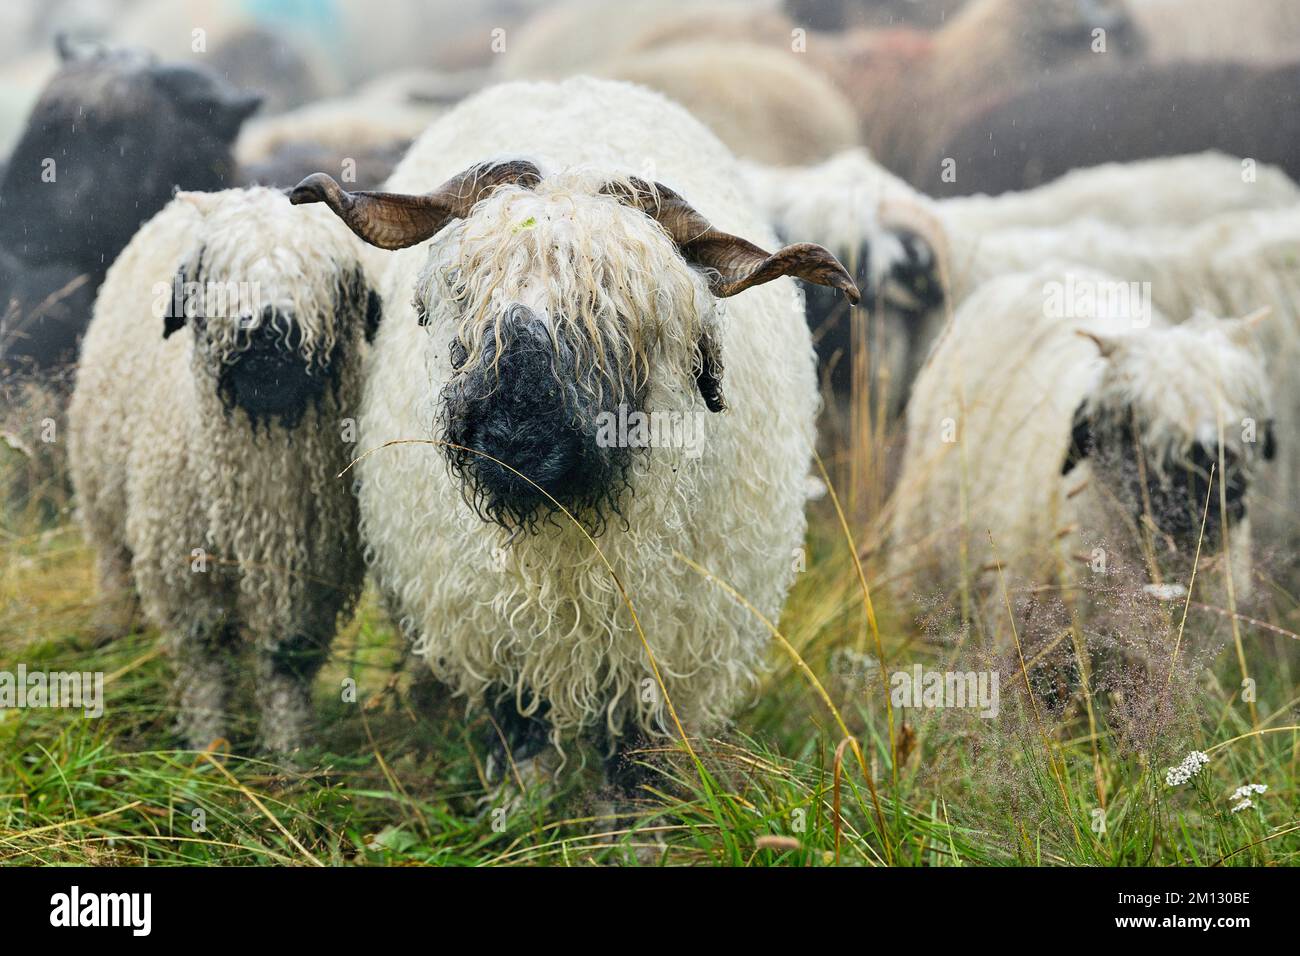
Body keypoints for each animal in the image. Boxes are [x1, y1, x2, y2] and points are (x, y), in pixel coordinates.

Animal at [66, 187, 379, 752]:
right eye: (220, 271)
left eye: (320, 271)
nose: (268, 328)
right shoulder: (183, 567)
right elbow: (204, 661)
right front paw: (207, 748)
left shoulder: (306, 577)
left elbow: (285, 665)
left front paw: (289, 752)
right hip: (99, 484)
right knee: (113, 565)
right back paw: (113, 632)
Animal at [290, 76, 858, 791]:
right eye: (462, 293)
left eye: (625, 312)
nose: (515, 436)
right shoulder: (497, 636)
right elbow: (521, 737)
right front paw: (518, 806)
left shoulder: (665, 654)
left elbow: (637, 765)